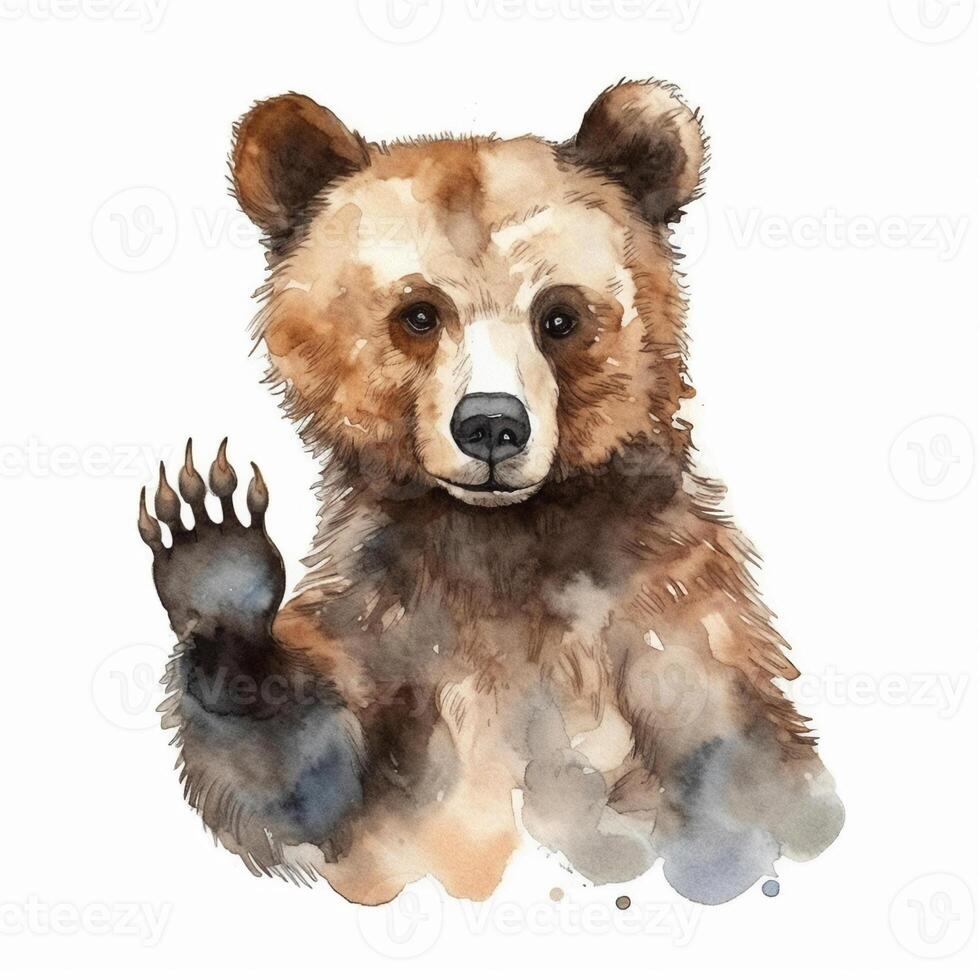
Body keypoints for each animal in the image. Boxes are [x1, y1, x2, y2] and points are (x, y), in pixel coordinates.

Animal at [138, 80, 844, 906]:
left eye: (560, 315)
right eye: (418, 313)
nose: (492, 427)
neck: (502, 539)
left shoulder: (670, 625)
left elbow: (751, 780)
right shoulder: (389, 630)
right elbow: (308, 792)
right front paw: (218, 568)